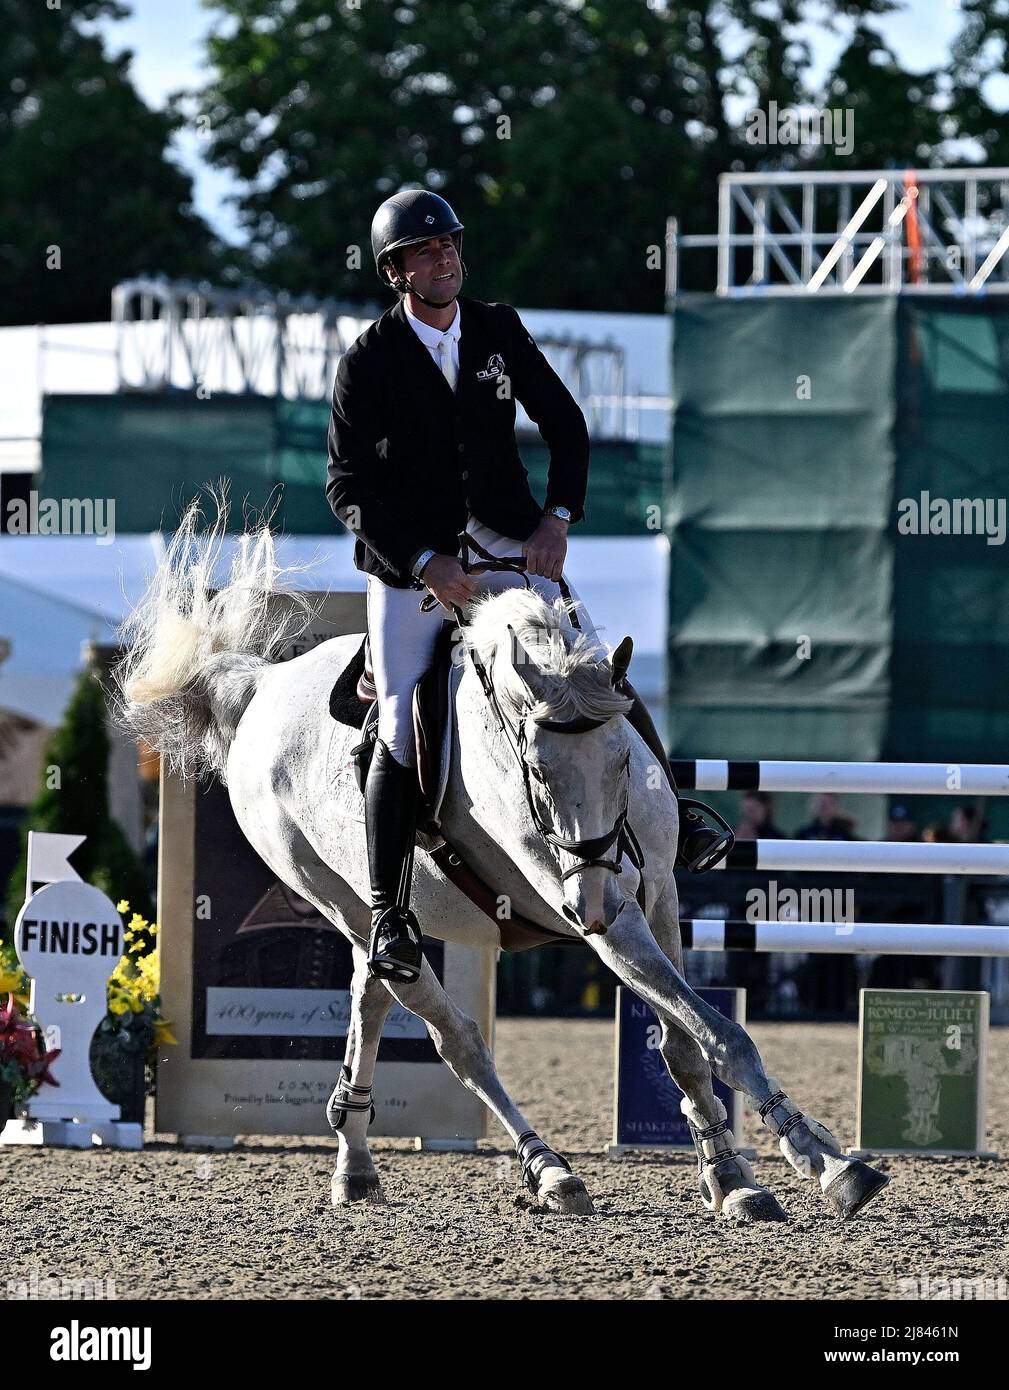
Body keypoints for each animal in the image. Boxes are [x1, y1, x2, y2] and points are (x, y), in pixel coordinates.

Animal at [114, 500, 889, 1222]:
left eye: (622, 759)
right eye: (537, 774)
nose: (592, 906)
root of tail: (259, 688)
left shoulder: (659, 896)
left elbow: (688, 1042)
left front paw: (731, 1179)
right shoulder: (603, 916)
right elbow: (720, 1036)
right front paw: (824, 1160)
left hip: (379, 918)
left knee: (372, 994)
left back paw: (355, 1162)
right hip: (336, 897)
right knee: (458, 1041)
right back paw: (547, 1169)